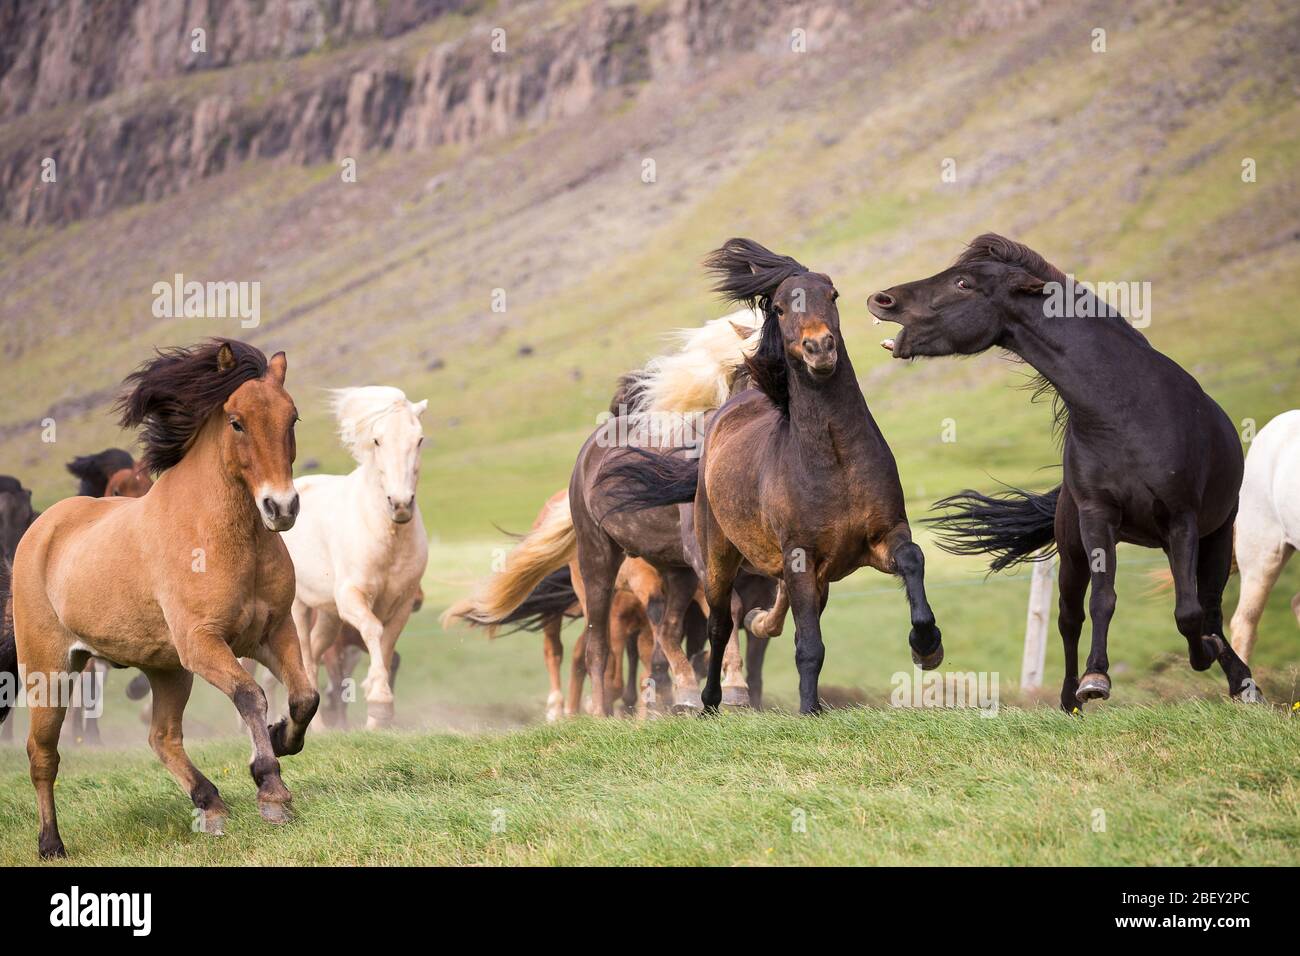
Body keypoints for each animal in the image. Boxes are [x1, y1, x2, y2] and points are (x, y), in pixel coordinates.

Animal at [0, 339, 318, 858]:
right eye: (236, 422)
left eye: (292, 418)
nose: (281, 508)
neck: (221, 536)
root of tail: (41, 530)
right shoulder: (202, 643)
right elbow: (250, 695)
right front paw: (272, 790)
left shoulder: (272, 631)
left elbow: (305, 697)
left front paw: (280, 739)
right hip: (50, 670)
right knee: (42, 754)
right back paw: (51, 844)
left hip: (166, 670)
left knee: (162, 737)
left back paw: (211, 804)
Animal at [282, 386, 428, 730]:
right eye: (377, 440)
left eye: (419, 439)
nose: (400, 503)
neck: (388, 538)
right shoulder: (352, 597)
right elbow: (374, 630)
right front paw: (379, 701)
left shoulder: (402, 604)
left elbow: (386, 646)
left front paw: (377, 717)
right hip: (299, 608)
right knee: (306, 658)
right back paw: (318, 727)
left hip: (329, 617)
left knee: (316, 655)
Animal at [601, 238, 943, 715]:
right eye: (780, 308)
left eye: (832, 295)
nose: (820, 348)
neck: (834, 461)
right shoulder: (799, 556)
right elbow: (808, 643)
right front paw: (809, 710)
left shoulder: (882, 536)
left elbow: (912, 559)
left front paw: (926, 645)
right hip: (718, 557)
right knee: (720, 625)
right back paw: (710, 701)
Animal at [868, 233, 1261, 708]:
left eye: (963, 282)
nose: (882, 299)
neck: (1126, 407)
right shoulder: (1097, 518)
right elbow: (1103, 600)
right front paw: (1096, 679)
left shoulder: (1181, 519)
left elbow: (1190, 610)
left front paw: (1204, 655)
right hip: (1075, 552)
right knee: (1070, 618)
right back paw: (1071, 699)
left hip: (1212, 537)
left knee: (1212, 607)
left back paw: (1239, 678)